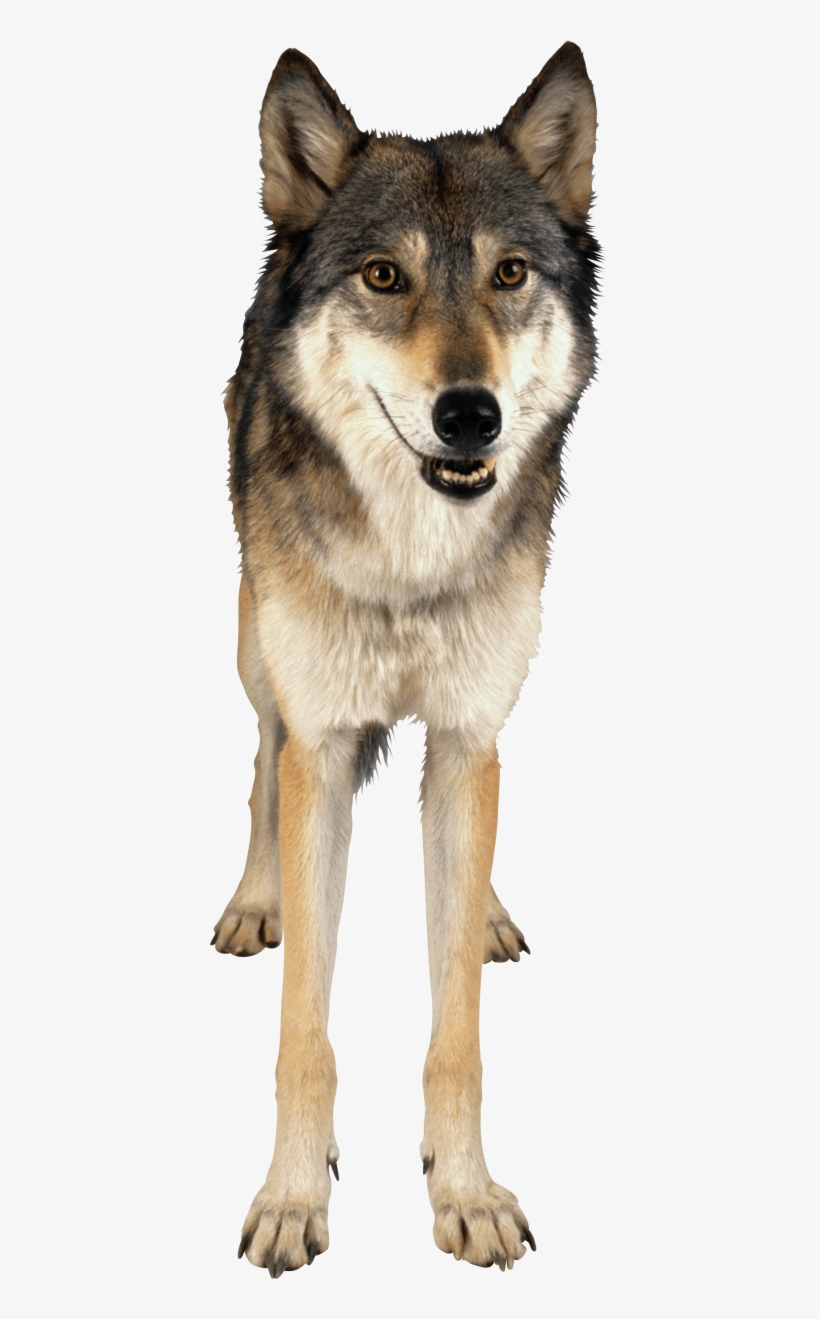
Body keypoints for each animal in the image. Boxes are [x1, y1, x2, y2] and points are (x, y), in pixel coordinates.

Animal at [212, 42, 598, 1276]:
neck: (411, 562)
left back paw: (485, 910)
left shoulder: (471, 730)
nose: (470, 414)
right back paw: (257, 897)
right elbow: (305, 1029)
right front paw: (292, 1198)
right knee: (259, 763)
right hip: (257, 650)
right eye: (385, 277)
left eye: (510, 273)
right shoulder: (325, 739)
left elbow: (457, 1029)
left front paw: (464, 1193)